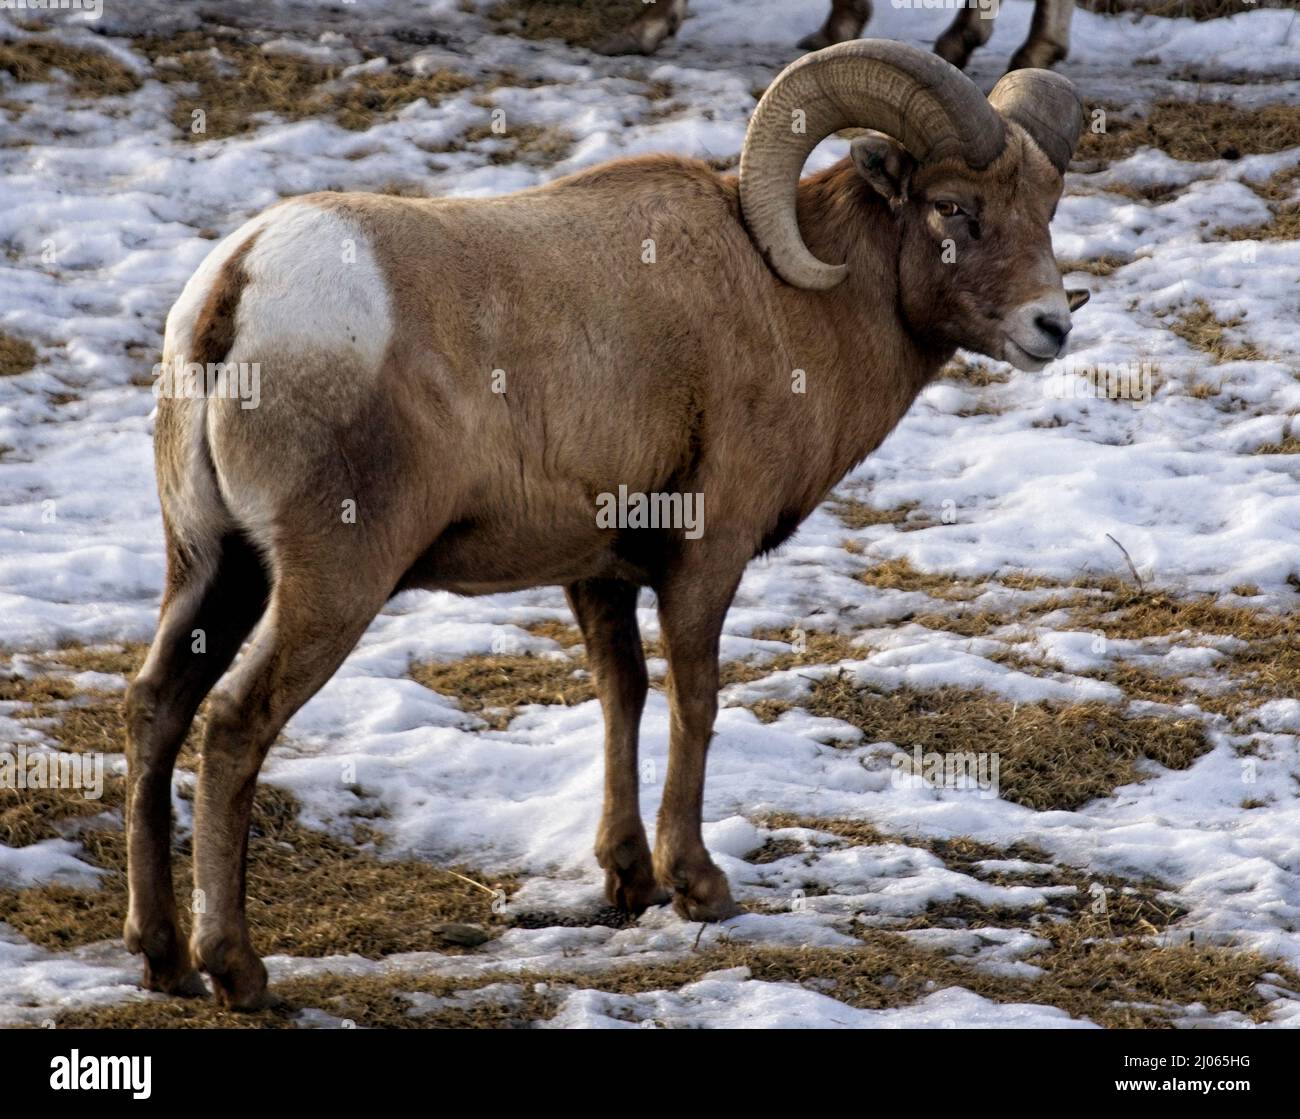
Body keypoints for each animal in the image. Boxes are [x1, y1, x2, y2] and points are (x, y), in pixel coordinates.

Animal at [125, 39, 1089, 1009]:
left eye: (1045, 207)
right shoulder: (706, 555)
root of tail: (236, 293)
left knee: (154, 707)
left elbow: (619, 690)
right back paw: (237, 968)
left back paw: (164, 958)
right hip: (331, 583)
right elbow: (695, 697)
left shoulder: (598, 570)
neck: (789, 305)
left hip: (215, 566)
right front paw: (699, 885)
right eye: (952, 206)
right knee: (235, 723)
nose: (1050, 326)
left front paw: (629, 878)